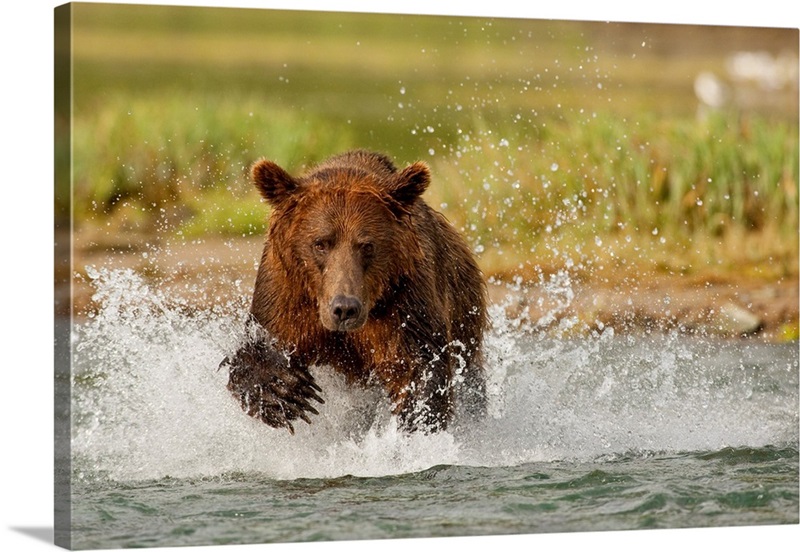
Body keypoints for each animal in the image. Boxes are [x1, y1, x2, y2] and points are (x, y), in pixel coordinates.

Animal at [221, 150, 488, 434]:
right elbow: (262, 349)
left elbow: (417, 370)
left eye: (367, 245)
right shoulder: (285, 292)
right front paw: (286, 390)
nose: (344, 309)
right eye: (320, 243)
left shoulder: (407, 300)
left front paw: (416, 420)